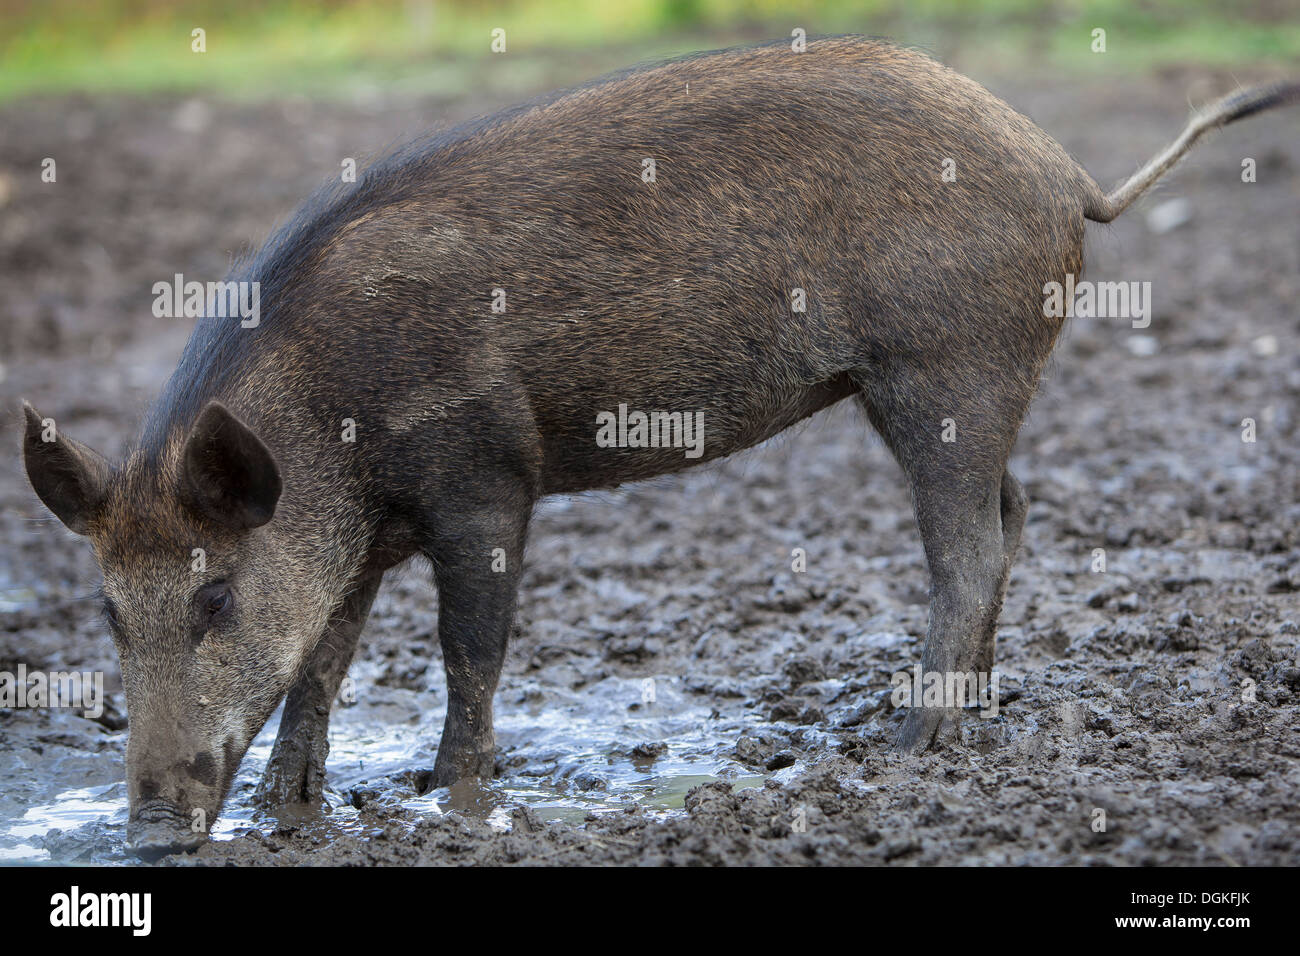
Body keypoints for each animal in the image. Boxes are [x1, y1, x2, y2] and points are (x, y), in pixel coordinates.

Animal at [21, 36, 1299, 856]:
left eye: (215, 599)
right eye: (107, 614)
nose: (149, 832)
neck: (334, 426)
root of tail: (1067, 172)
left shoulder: (486, 478)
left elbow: (467, 648)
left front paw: (448, 798)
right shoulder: (363, 535)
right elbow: (324, 659)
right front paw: (293, 810)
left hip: (944, 366)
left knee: (969, 545)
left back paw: (904, 740)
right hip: (952, 386)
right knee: (1012, 512)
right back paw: (968, 716)